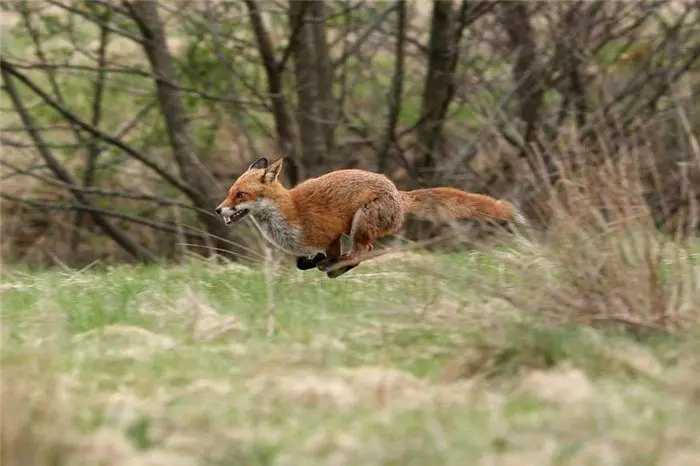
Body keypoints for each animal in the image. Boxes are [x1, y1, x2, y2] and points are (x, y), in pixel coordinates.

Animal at [213, 158, 524, 278]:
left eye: (240, 195)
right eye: (229, 193)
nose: (218, 210)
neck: (291, 212)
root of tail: (396, 191)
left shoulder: (332, 234)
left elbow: (330, 255)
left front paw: (330, 264)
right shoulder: (320, 243)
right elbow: (303, 262)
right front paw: (314, 262)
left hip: (360, 223)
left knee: (365, 250)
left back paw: (338, 268)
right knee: (361, 251)